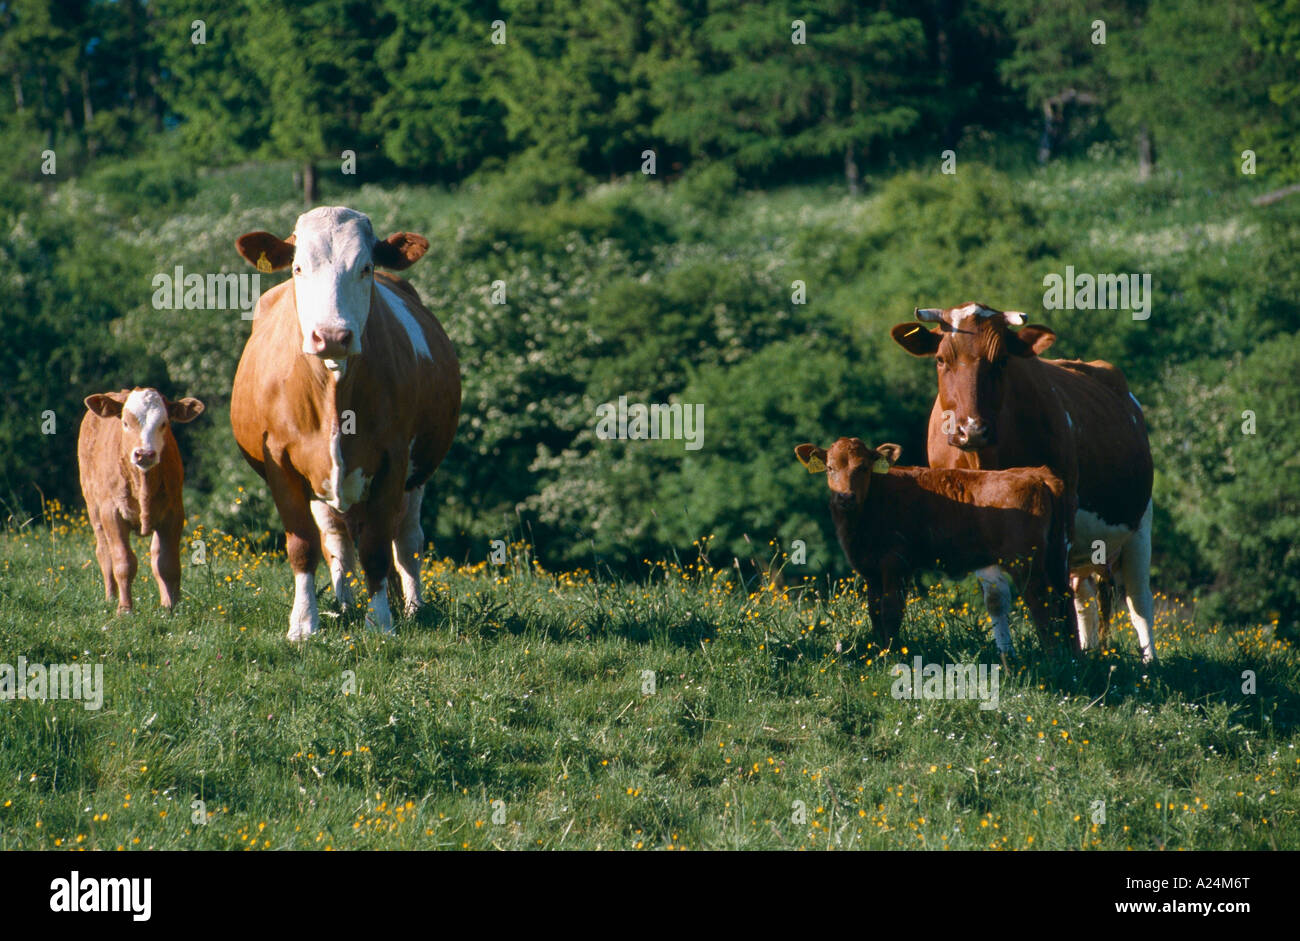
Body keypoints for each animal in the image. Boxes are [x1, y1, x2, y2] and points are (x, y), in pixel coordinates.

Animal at [78, 388, 206, 612]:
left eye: (164, 423)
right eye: (125, 423)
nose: (145, 454)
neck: (142, 483)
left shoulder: (173, 513)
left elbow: (168, 564)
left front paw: (172, 606)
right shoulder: (112, 512)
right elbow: (123, 562)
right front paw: (125, 608)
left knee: (155, 556)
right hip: (94, 508)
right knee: (104, 552)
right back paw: (111, 597)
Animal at [230, 206, 461, 641]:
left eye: (365, 267)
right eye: (298, 267)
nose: (333, 336)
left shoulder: (393, 461)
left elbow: (378, 547)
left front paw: (381, 621)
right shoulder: (280, 462)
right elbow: (303, 546)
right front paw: (304, 623)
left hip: (416, 476)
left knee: (407, 541)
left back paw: (414, 607)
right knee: (337, 541)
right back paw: (343, 604)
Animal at [794, 437, 1071, 661]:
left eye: (862, 468)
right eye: (830, 468)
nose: (845, 497)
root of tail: (1034, 473)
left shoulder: (895, 563)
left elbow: (891, 610)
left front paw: (891, 656)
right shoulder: (871, 569)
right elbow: (874, 610)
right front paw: (880, 650)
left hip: (1025, 562)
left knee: (1042, 602)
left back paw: (1052, 658)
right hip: (1052, 556)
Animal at [890, 302, 1155, 662]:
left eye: (1002, 360)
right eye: (941, 359)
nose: (971, 430)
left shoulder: (1064, 510)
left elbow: (1054, 593)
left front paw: (1065, 657)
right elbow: (995, 596)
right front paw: (1007, 657)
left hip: (1140, 524)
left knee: (1139, 600)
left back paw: (1149, 661)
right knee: (1084, 595)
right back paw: (1090, 648)